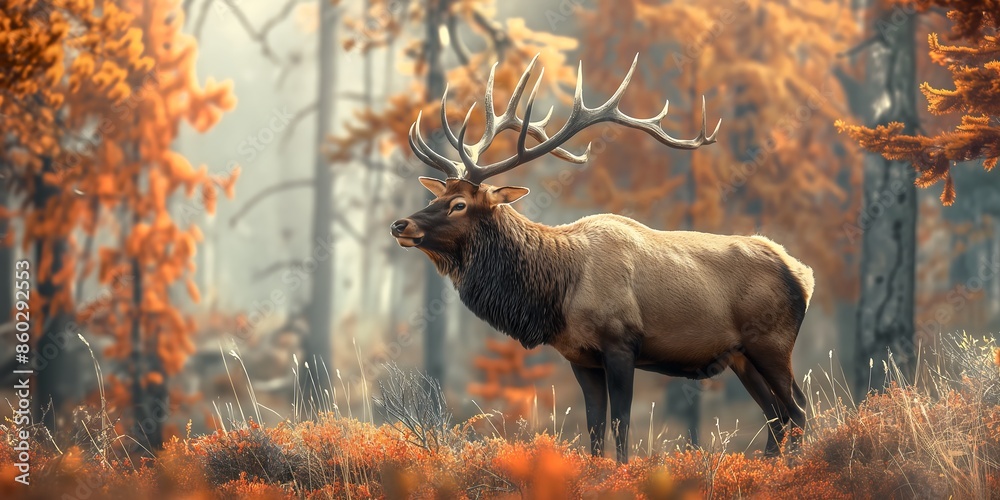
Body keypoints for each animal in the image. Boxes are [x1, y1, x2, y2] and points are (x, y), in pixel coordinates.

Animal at [390, 55, 814, 463]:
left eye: (459, 204)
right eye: (438, 196)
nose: (399, 224)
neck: (558, 294)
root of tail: (803, 274)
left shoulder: (621, 342)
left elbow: (620, 423)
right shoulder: (580, 357)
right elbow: (594, 427)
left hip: (772, 341)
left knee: (797, 409)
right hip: (742, 355)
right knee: (776, 415)